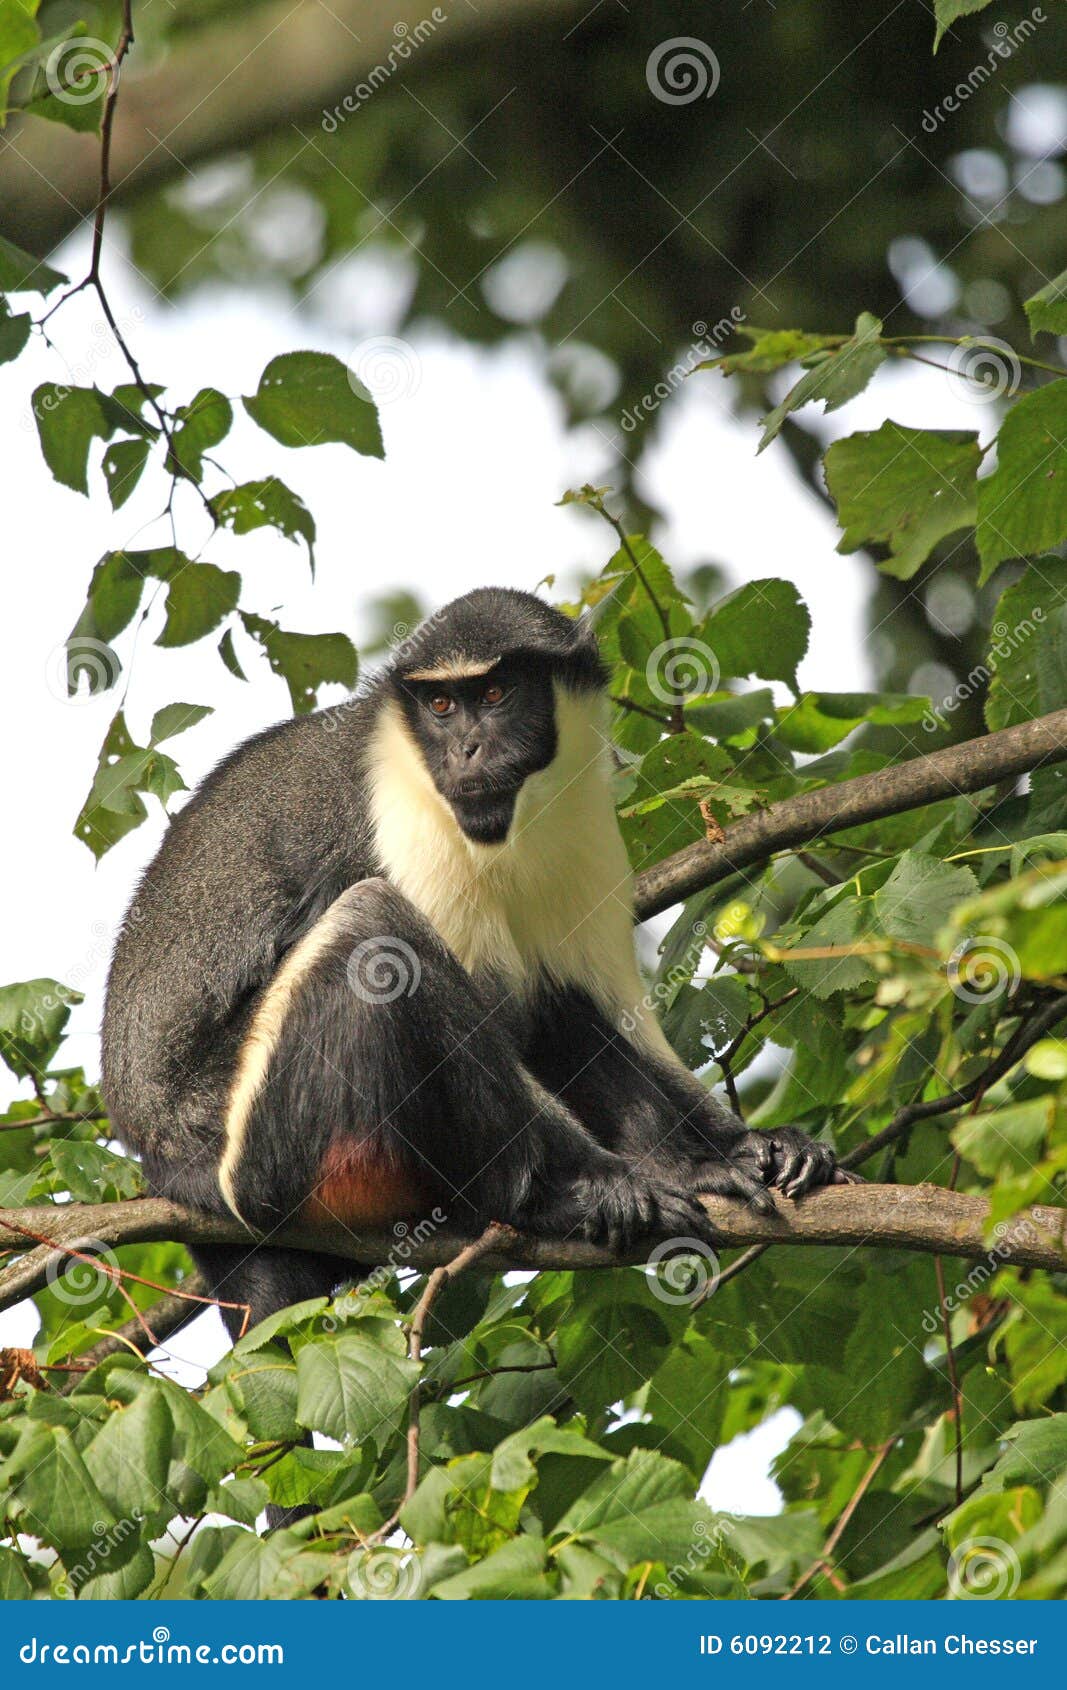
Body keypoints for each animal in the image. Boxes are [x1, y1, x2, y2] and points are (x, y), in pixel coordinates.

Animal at [102, 588, 852, 1343]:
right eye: (440, 706)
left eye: (494, 694)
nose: (467, 749)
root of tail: (163, 1163)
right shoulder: (402, 827)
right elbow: (481, 1015)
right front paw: (615, 1183)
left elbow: (574, 1011)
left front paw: (734, 1152)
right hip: (261, 1154)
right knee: (373, 928)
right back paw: (547, 1196)